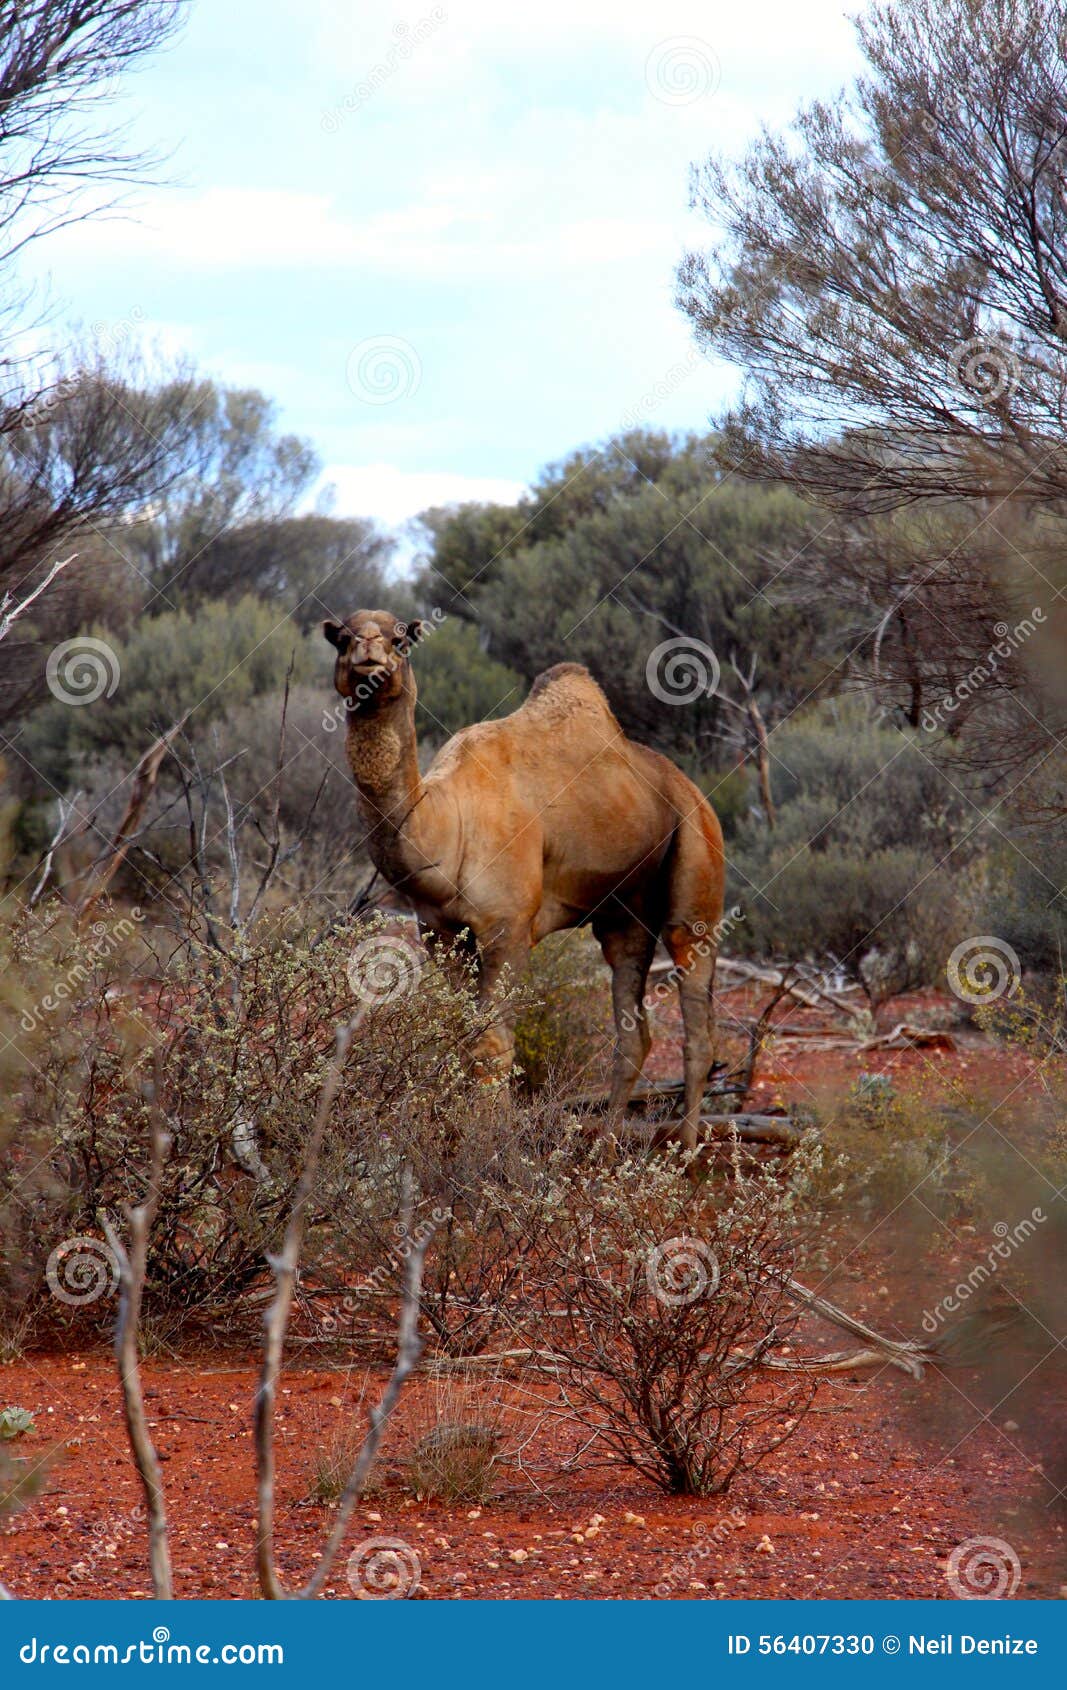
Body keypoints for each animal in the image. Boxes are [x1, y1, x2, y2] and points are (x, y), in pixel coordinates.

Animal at [324, 609, 725, 1150]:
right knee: (632, 1024)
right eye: (342, 637)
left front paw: (487, 1146)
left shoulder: (508, 926)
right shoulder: (439, 932)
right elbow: (459, 1033)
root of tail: (690, 787)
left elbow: (492, 1044)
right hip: (624, 912)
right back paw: (605, 1145)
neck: (451, 822)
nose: (369, 653)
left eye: (400, 639)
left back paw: (684, 1149)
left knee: (696, 1010)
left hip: (697, 856)